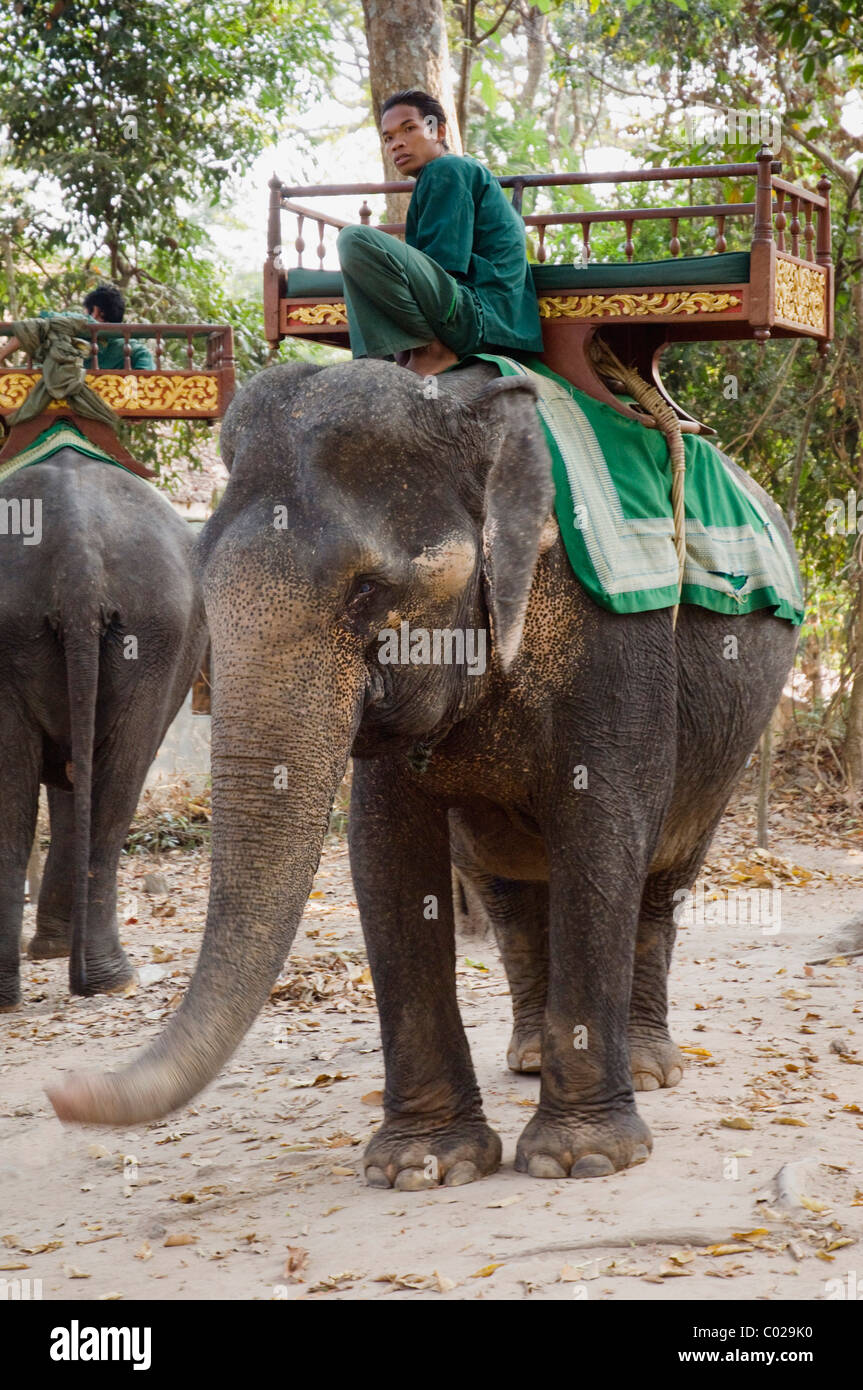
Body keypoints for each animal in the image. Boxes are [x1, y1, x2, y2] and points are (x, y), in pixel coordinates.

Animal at [47, 359, 799, 1188]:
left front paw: (582, 1160)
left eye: (367, 589)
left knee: (663, 871)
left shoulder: (617, 645)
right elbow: (385, 851)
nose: (62, 1090)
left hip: (735, 731)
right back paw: (529, 1058)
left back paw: (646, 1067)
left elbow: (602, 836)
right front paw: (420, 1168)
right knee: (506, 885)